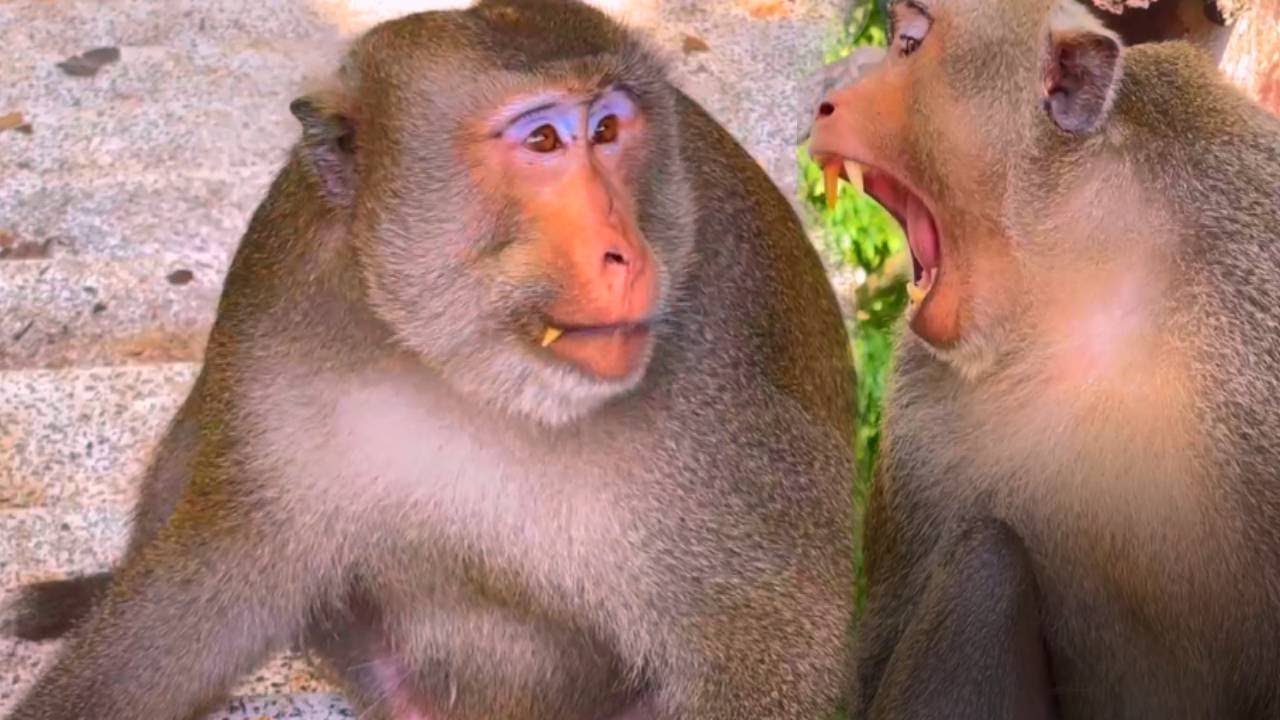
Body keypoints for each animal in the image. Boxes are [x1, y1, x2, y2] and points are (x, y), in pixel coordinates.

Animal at [2, 2, 858, 718]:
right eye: (543, 140)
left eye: (611, 129)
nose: (626, 253)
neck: (471, 376)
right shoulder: (276, 316)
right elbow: (204, 592)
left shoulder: (718, 385)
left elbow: (780, 644)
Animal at [809, 0, 1280, 717]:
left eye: (911, 43)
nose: (826, 104)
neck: (1074, 289)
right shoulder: (920, 409)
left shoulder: (1252, 313)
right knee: (986, 566)